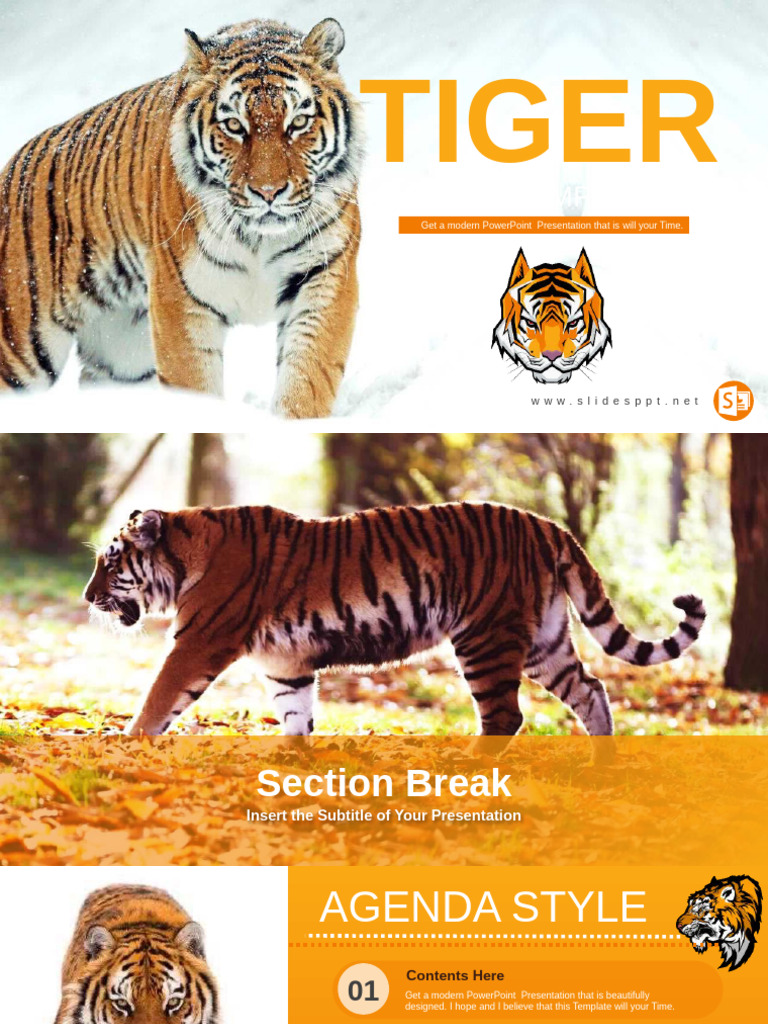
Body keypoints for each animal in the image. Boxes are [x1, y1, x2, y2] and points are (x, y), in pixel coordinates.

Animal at [0, 17, 361, 418]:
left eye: (298, 122)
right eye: (234, 126)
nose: (268, 192)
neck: (258, 239)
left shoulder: (325, 276)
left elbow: (307, 377)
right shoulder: (181, 299)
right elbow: (194, 387)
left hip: (122, 358)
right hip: (19, 345)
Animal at [83, 502, 706, 738]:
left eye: (110, 563)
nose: (88, 598)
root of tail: (546, 524)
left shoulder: (198, 642)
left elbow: (158, 698)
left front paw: (125, 741)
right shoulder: (286, 663)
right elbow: (296, 717)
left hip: (485, 638)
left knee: (505, 717)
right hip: (544, 642)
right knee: (592, 690)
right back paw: (605, 765)